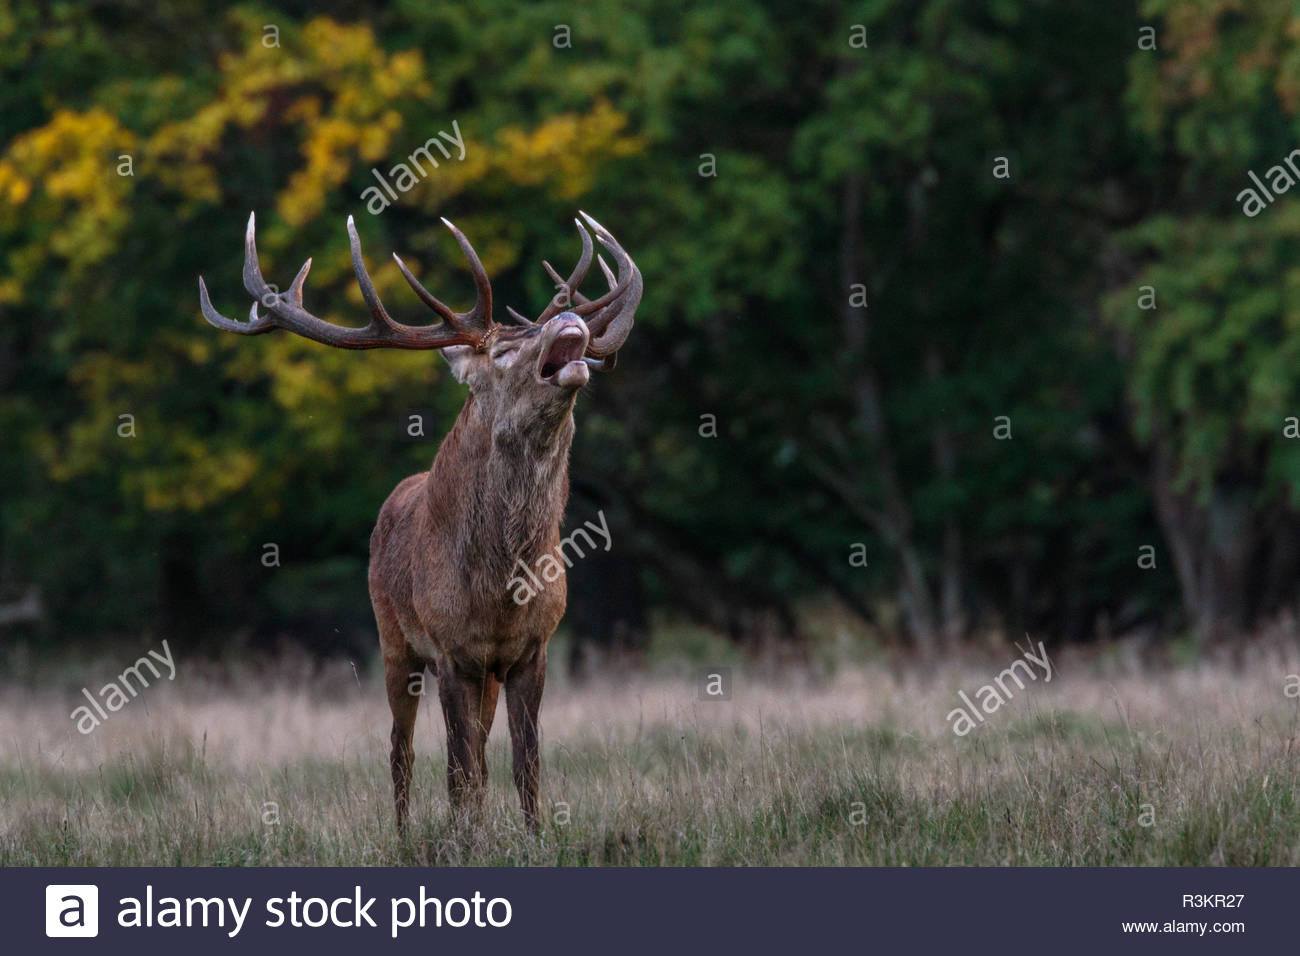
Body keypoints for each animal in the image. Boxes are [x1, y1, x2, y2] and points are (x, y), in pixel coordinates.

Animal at [198, 210, 640, 829]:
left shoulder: (533, 647)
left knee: (476, 753)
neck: (503, 592)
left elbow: (524, 765)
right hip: (394, 643)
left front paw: (532, 836)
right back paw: (406, 833)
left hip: (478, 671)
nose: (570, 315)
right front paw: (465, 838)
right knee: (401, 751)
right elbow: (459, 772)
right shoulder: (449, 649)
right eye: (501, 353)